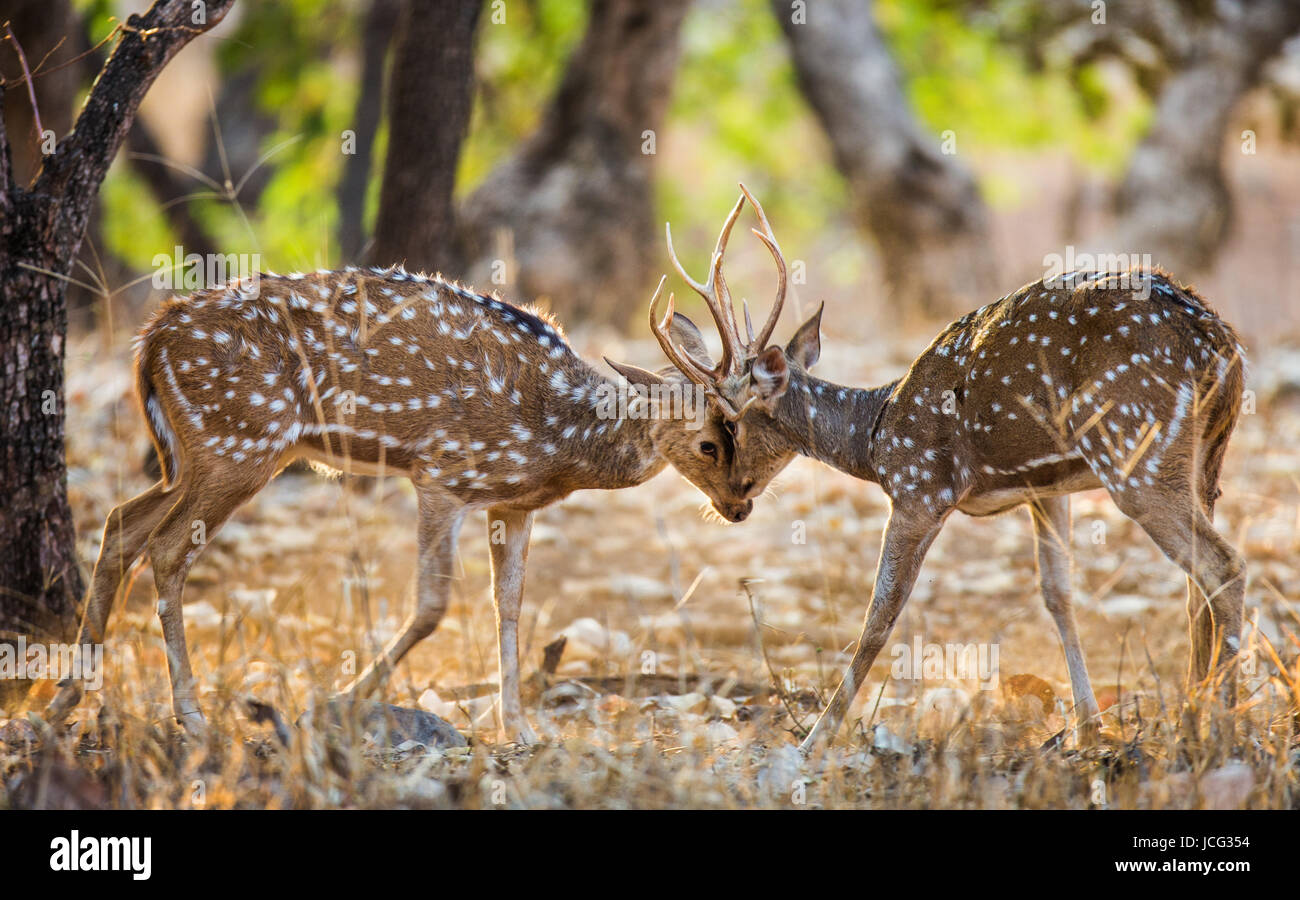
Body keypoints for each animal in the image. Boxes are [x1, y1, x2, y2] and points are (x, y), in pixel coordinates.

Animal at [46, 264, 801, 743]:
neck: (560, 438)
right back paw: (191, 716)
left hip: (200, 454)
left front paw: (521, 729)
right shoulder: (442, 473)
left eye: (742, 429)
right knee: (166, 548)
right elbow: (435, 602)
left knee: (118, 525)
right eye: (710, 441)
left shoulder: (513, 502)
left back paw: (64, 701)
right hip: (238, 442)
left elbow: (509, 607)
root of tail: (150, 339)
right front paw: (342, 703)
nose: (740, 507)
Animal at [651, 185, 1247, 753]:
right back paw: (1193, 716)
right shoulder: (1046, 486)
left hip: (1133, 446)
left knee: (1223, 567)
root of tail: (1218, 343)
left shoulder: (919, 489)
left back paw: (1219, 729)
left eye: (729, 422)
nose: (731, 501)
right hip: (1204, 461)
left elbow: (879, 617)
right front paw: (1086, 731)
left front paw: (813, 740)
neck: (876, 438)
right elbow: (1057, 594)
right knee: (1197, 585)